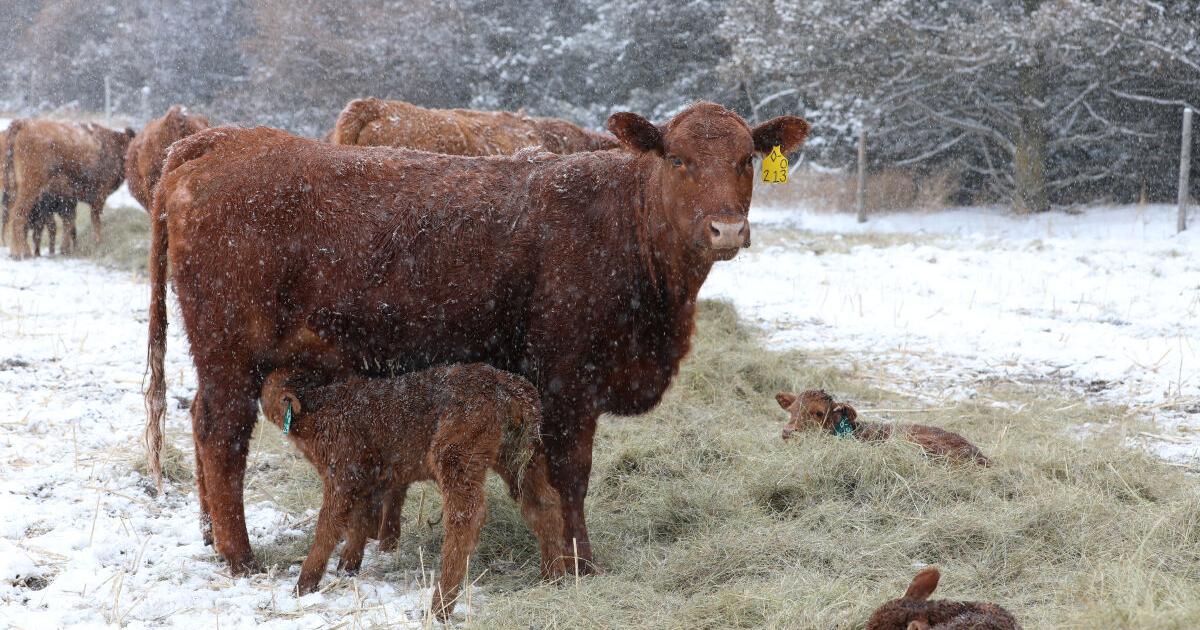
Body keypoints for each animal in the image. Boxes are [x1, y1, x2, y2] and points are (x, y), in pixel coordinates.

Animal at [2, 118, 134, 258]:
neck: (115, 145)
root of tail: (23, 123)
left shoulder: (70, 200)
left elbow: (69, 221)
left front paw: (65, 249)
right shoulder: (99, 196)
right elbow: (94, 220)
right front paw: (98, 243)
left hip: (14, 188)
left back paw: (16, 252)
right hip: (30, 189)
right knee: (19, 215)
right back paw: (22, 253)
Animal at [144, 102, 810, 575]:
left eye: (747, 159)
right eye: (676, 159)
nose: (728, 229)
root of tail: (217, 141)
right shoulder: (568, 382)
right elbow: (570, 476)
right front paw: (581, 564)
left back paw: (213, 539)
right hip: (232, 351)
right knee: (220, 435)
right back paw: (240, 557)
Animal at [259, 364, 564, 618]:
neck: (320, 407)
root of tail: (508, 384)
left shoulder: (343, 472)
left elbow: (327, 526)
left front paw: (304, 585)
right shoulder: (366, 477)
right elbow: (359, 521)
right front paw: (348, 568)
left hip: (458, 454)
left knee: (467, 518)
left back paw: (440, 606)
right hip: (519, 456)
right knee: (544, 502)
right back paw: (555, 578)